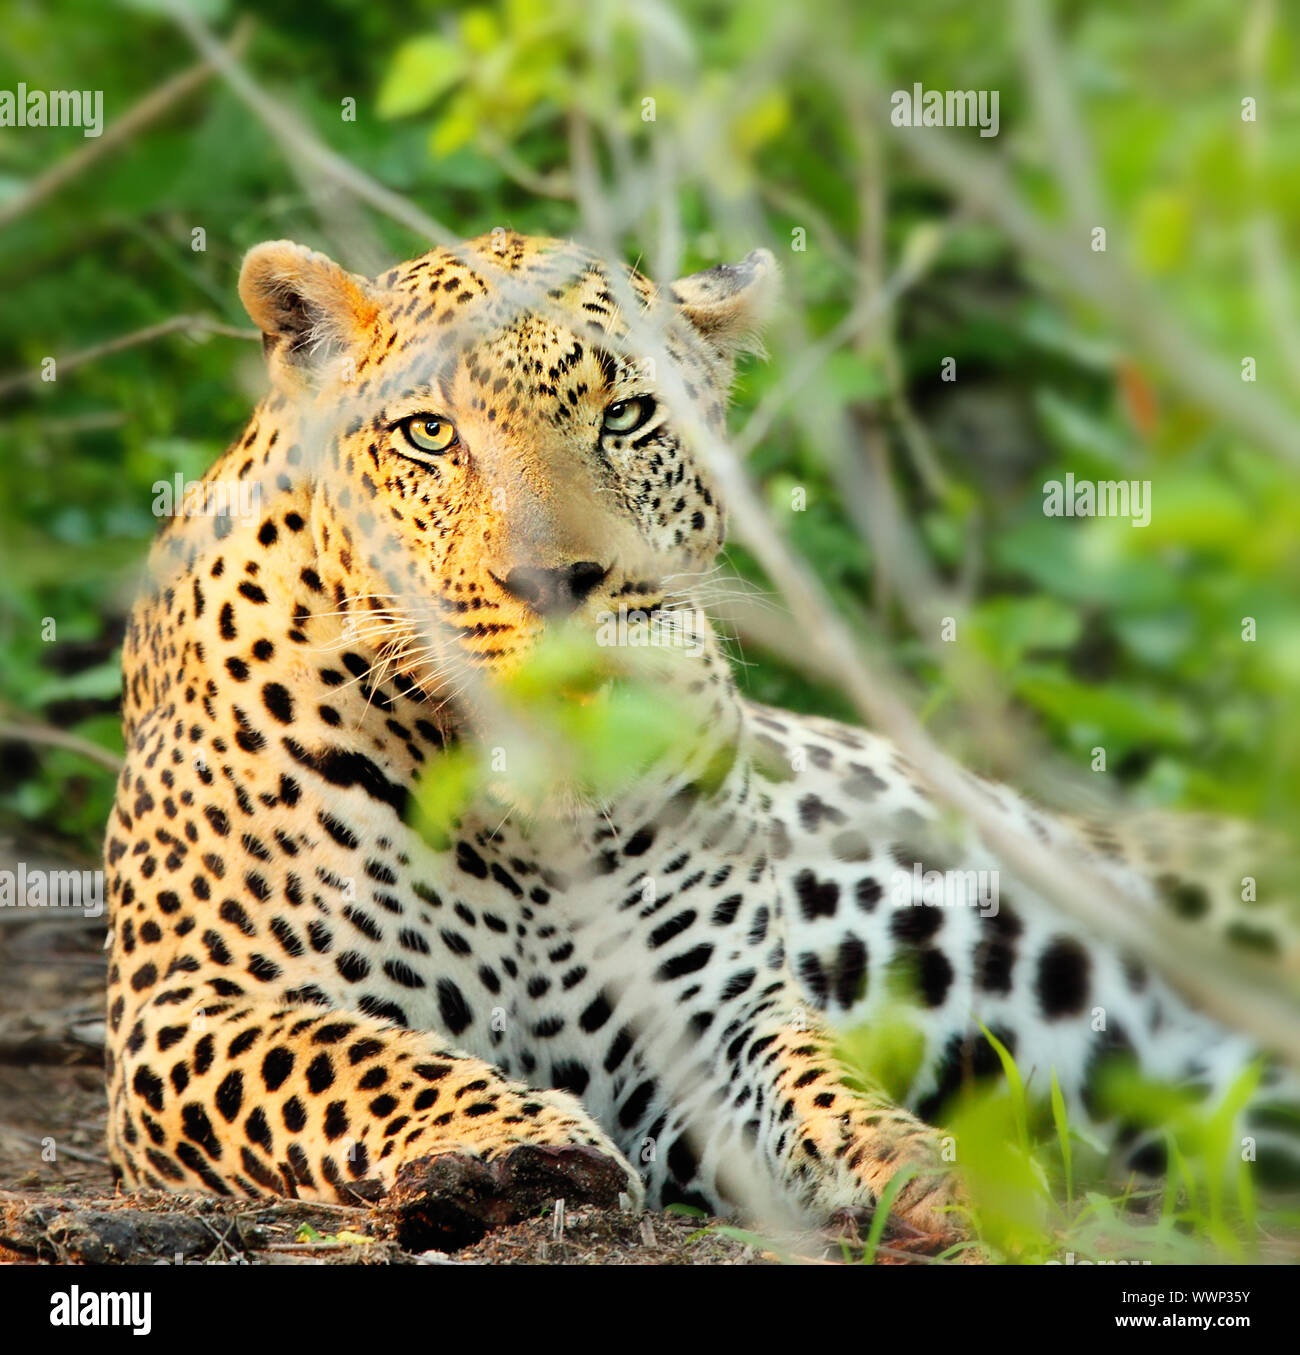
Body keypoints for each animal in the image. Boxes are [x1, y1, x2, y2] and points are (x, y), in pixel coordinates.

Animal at [104, 228, 1300, 1247]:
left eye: (628, 417)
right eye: (430, 433)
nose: (556, 581)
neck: (522, 807)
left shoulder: (716, 1019)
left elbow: (828, 1087)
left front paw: (935, 1170)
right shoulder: (193, 1005)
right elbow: (364, 1057)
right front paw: (518, 1144)